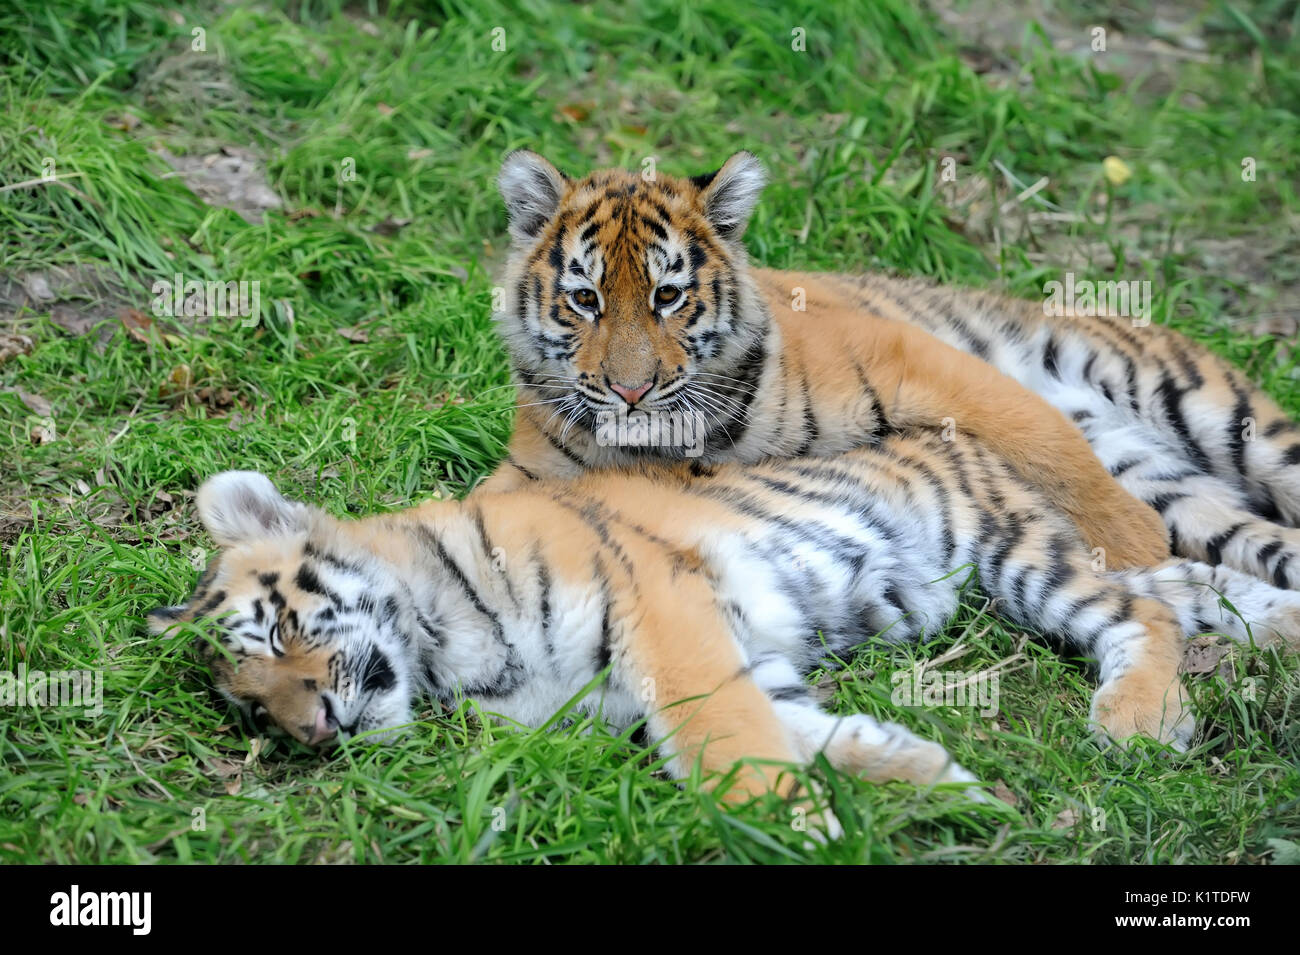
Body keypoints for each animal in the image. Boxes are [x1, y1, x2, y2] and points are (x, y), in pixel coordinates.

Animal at [150, 432, 1300, 825]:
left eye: (279, 634)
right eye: (251, 711)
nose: (313, 730)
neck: (446, 654)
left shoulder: (665, 613)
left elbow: (722, 744)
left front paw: (787, 830)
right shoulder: (699, 669)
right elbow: (807, 731)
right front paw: (939, 781)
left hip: (1012, 553)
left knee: (1142, 609)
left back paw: (1139, 721)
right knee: (1187, 584)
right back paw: (1276, 626)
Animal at [485, 150, 1300, 589]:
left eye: (667, 296)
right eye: (585, 299)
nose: (631, 389)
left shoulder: (914, 358)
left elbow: (1045, 437)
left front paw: (1130, 546)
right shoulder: (530, 472)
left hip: (1218, 412)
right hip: (1184, 488)